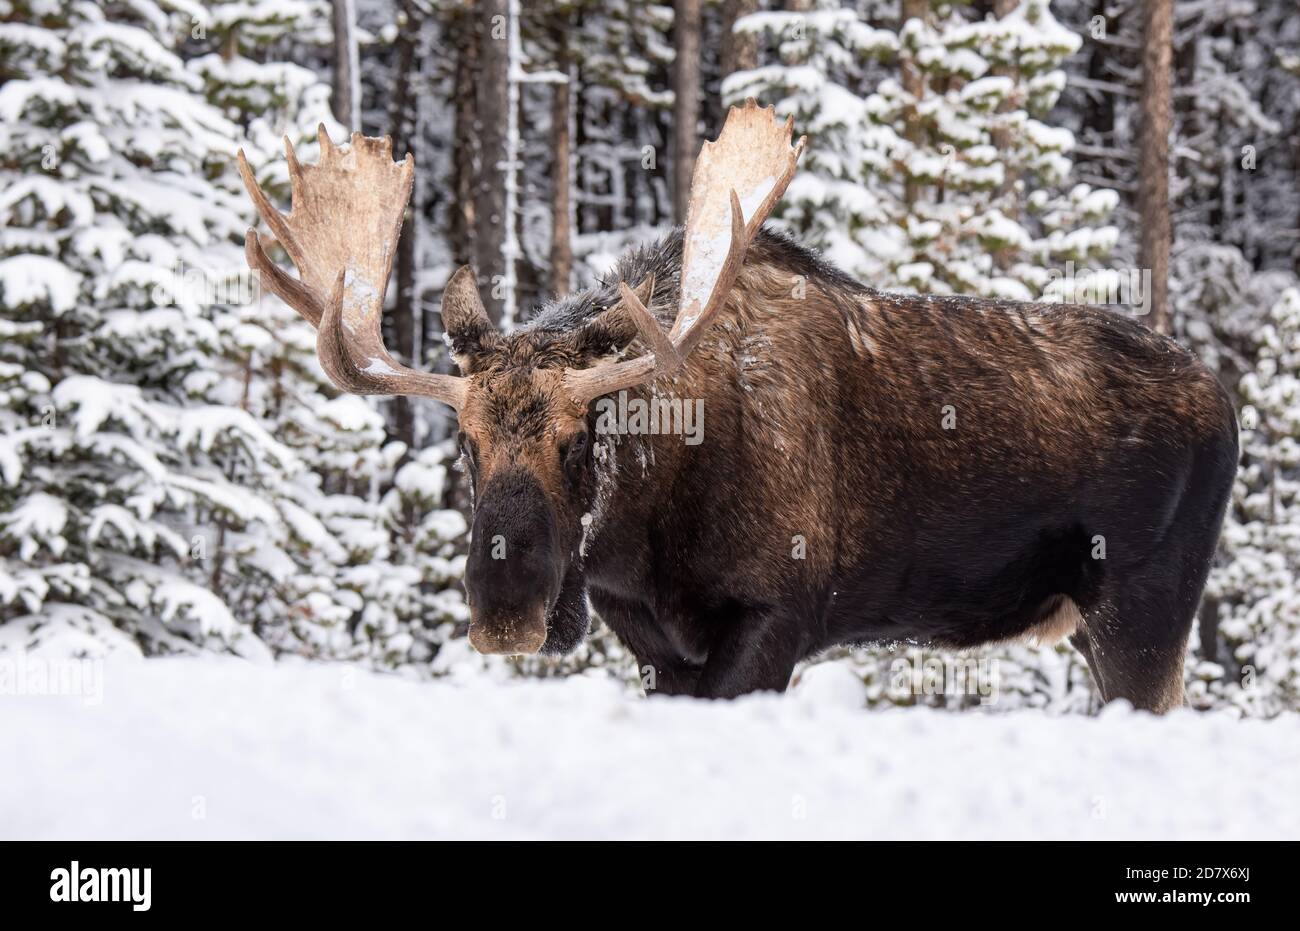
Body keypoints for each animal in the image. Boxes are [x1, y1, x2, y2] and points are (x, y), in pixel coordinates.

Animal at [238, 100, 1238, 713]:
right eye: (465, 446)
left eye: (580, 439)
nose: (506, 610)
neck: (641, 539)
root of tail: (1226, 399)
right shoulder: (658, 646)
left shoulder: (774, 618)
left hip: (1143, 610)